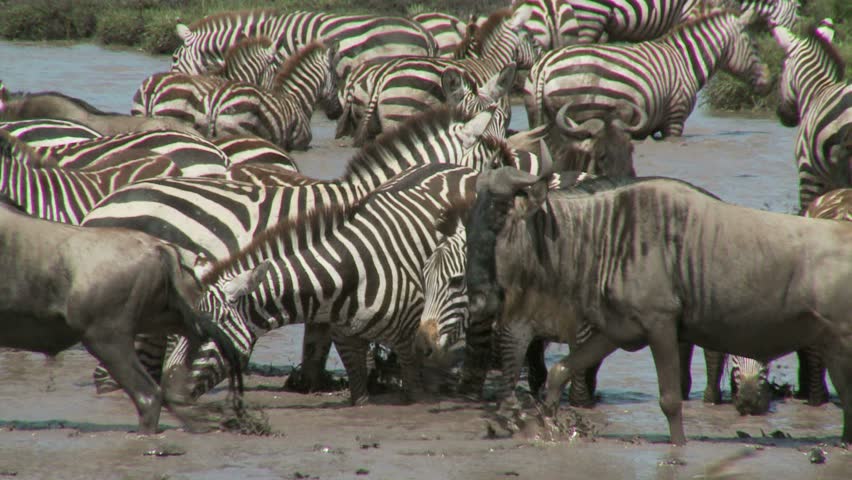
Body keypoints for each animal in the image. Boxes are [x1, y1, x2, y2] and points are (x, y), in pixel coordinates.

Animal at [163, 163, 480, 405]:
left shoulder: (409, 341)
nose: (167, 389)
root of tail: (456, 167)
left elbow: (414, 391)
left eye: (206, 334)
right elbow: (359, 395)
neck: (350, 274)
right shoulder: (346, 340)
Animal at [524, 9, 771, 137]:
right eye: (755, 46)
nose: (769, 82)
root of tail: (545, 65)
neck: (686, 61)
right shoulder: (675, 118)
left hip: (536, 113)